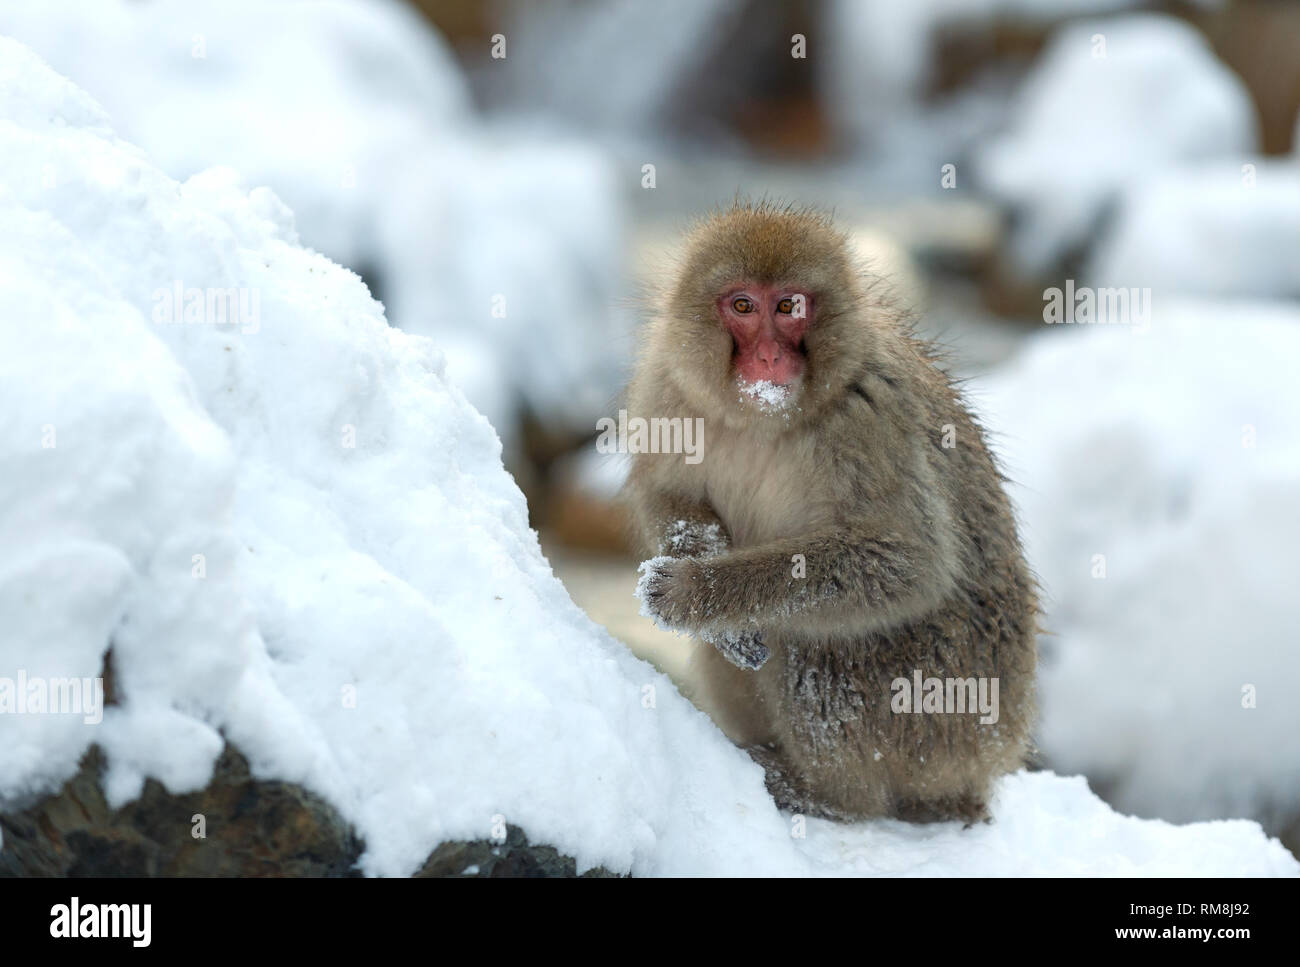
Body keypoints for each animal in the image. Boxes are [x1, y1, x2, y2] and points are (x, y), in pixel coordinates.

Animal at [623, 201, 1037, 824]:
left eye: (789, 307)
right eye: (743, 306)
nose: (769, 356)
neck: (764, 419)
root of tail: (992, 755)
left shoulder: (870, 413)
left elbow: (906, 564)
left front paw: (698, 593)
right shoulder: (669, 387)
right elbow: (666, 492)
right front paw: (714, 606)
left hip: (942, 710)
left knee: (815, 644)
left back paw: (829, 795)